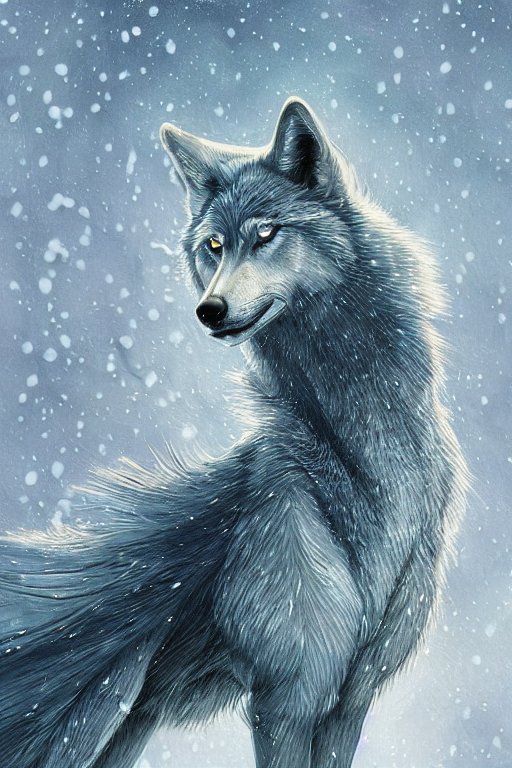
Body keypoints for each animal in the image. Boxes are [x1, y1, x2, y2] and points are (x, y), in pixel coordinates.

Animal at [0, 97, 467, 768]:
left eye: (266, 233)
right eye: (214, 246)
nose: (209, 311)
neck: (372, 486)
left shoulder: (348, 702)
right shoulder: (288, 699)